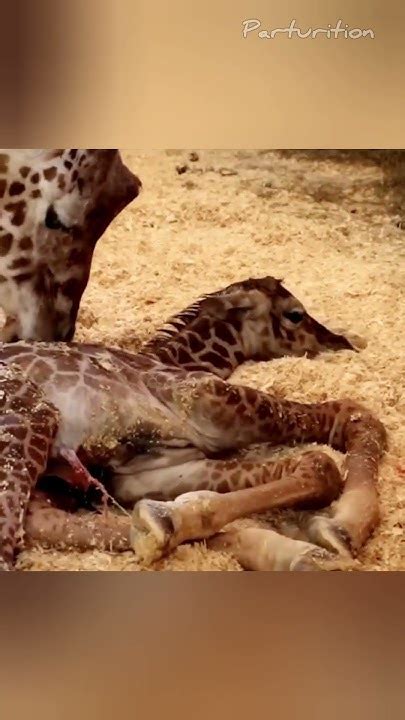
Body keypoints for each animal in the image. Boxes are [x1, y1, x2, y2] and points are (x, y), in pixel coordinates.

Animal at [0, 276, 386, 571]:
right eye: (295, 314)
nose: (343, 343)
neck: (179, 363)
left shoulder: (149, 470)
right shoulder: (210, 398)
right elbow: (337, 437)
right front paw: (340, 530)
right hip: (32, 417)